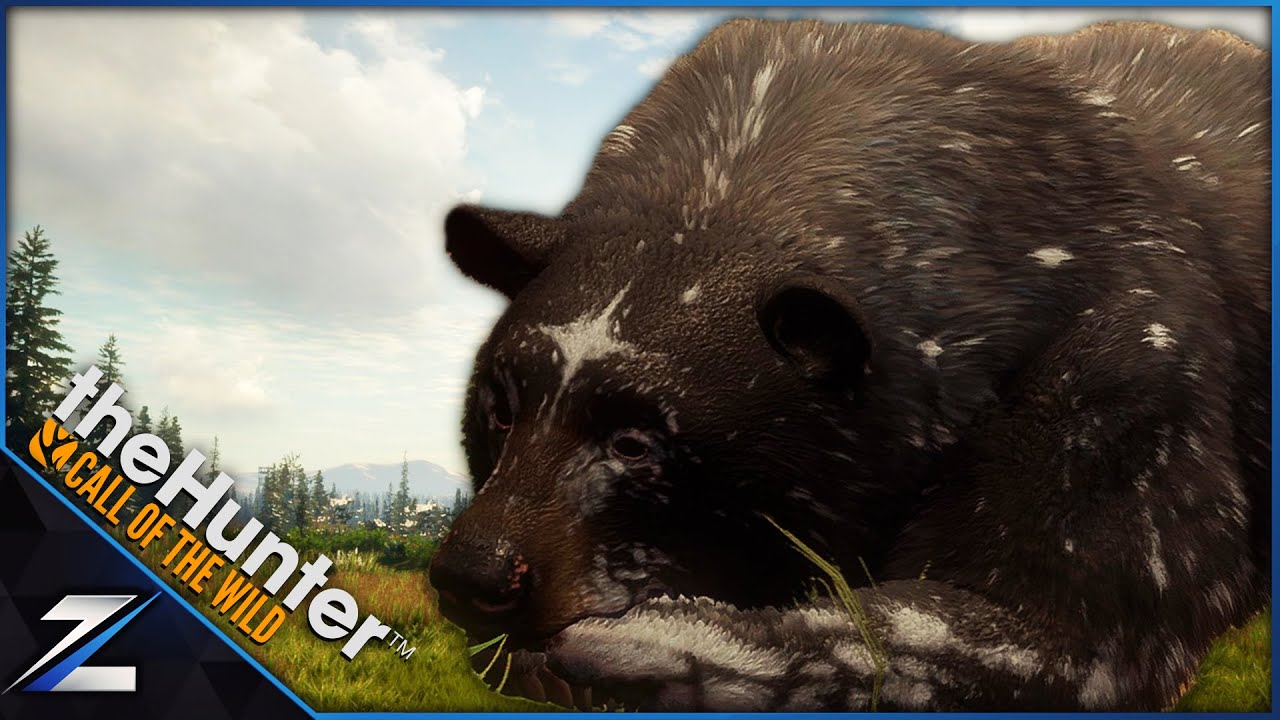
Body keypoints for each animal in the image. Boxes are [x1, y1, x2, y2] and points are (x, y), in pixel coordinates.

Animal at [428, 18, 1271, 711]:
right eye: (499, 408)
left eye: (637, 442)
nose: (473, 575)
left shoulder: (1128, 359)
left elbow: (1058, 632)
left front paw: (633, 645)